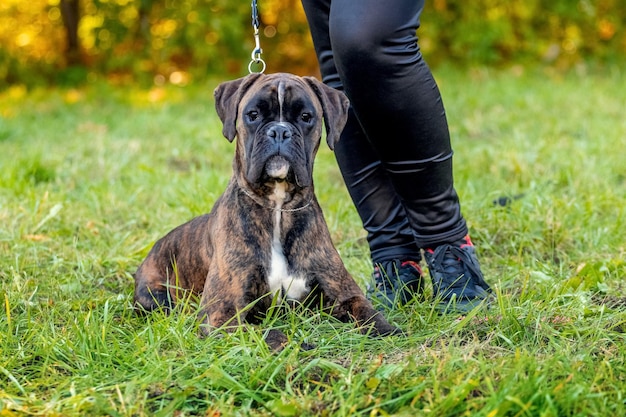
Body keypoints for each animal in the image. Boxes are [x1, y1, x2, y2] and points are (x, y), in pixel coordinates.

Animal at [133, 72, 400, 348]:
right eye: (253, 115)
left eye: (306, 116)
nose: (280, 130)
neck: (277, 207)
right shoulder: (222, 315)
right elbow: (267, 334)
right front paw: (299, 346)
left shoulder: (345, 293)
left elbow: (369, 313)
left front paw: (388, 330)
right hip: (157, 299)